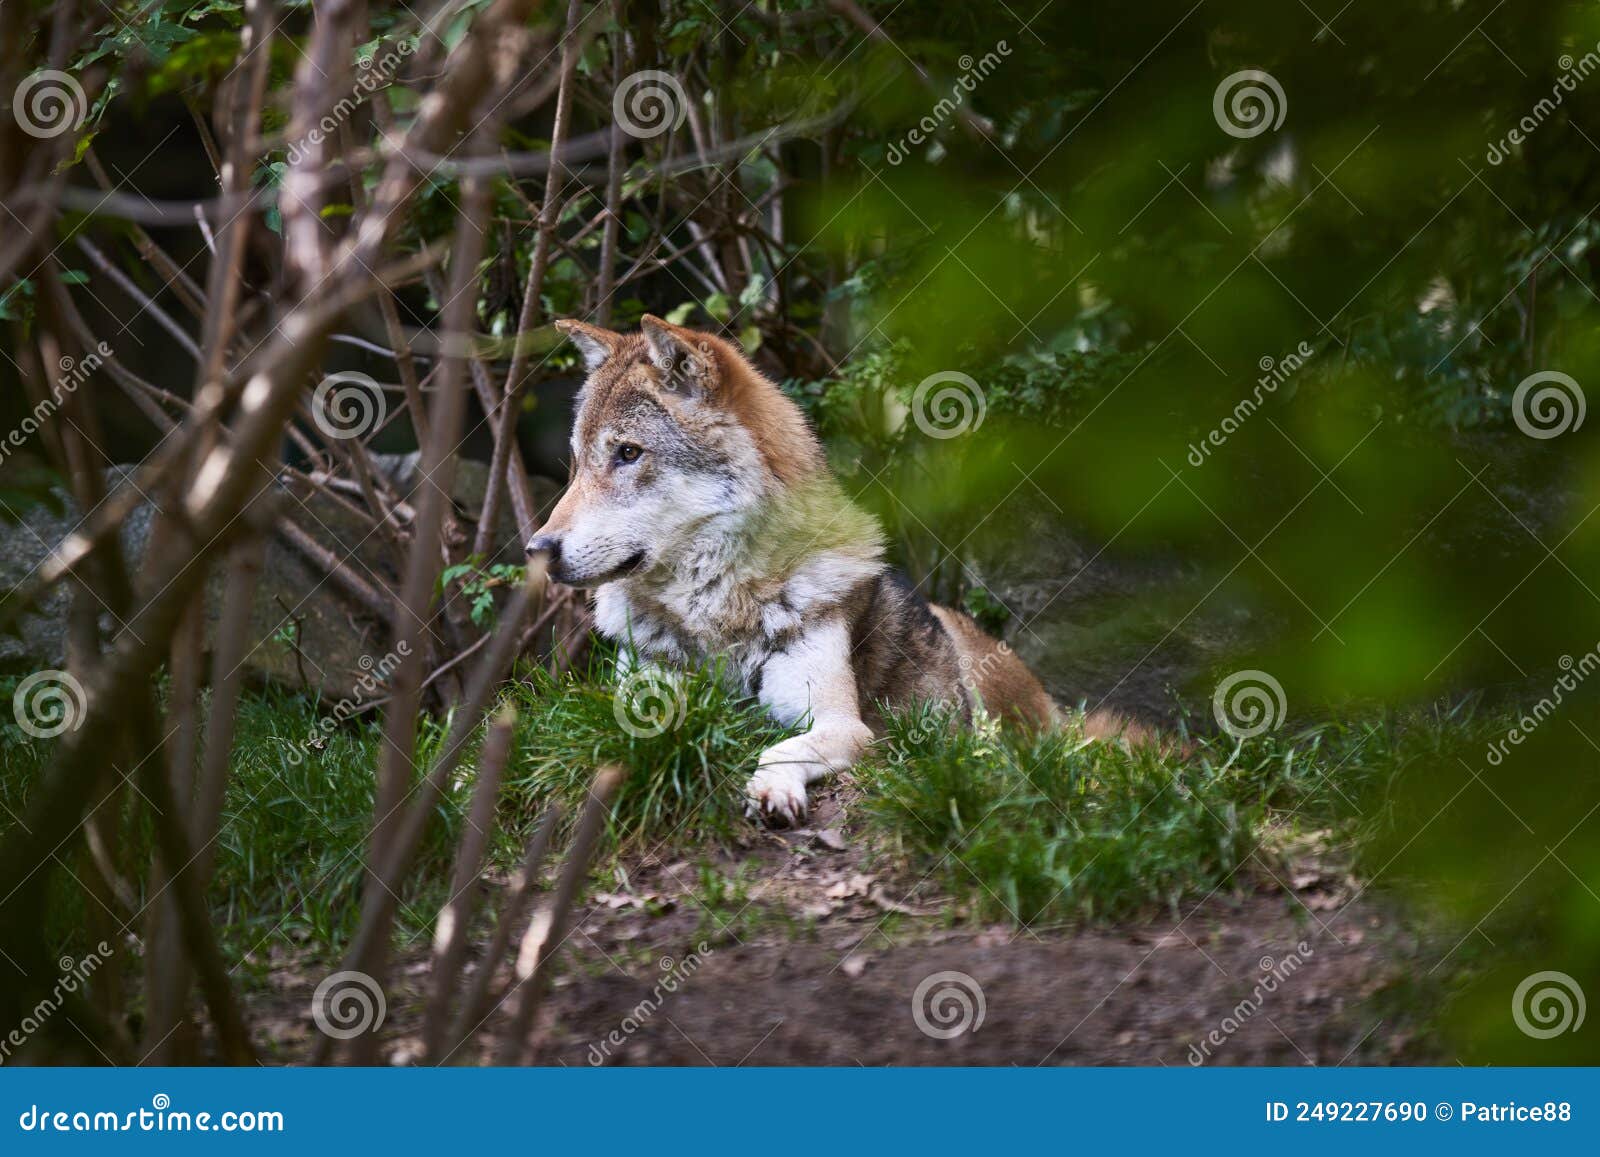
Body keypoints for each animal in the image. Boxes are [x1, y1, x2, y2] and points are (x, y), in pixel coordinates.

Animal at [527, 316, 1131, 824]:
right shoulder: (633, 700)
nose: (539, 548)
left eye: (629, 453)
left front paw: (773, 790)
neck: (719, 611)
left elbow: (779, 747)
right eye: (578, 463)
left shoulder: (845, 725)